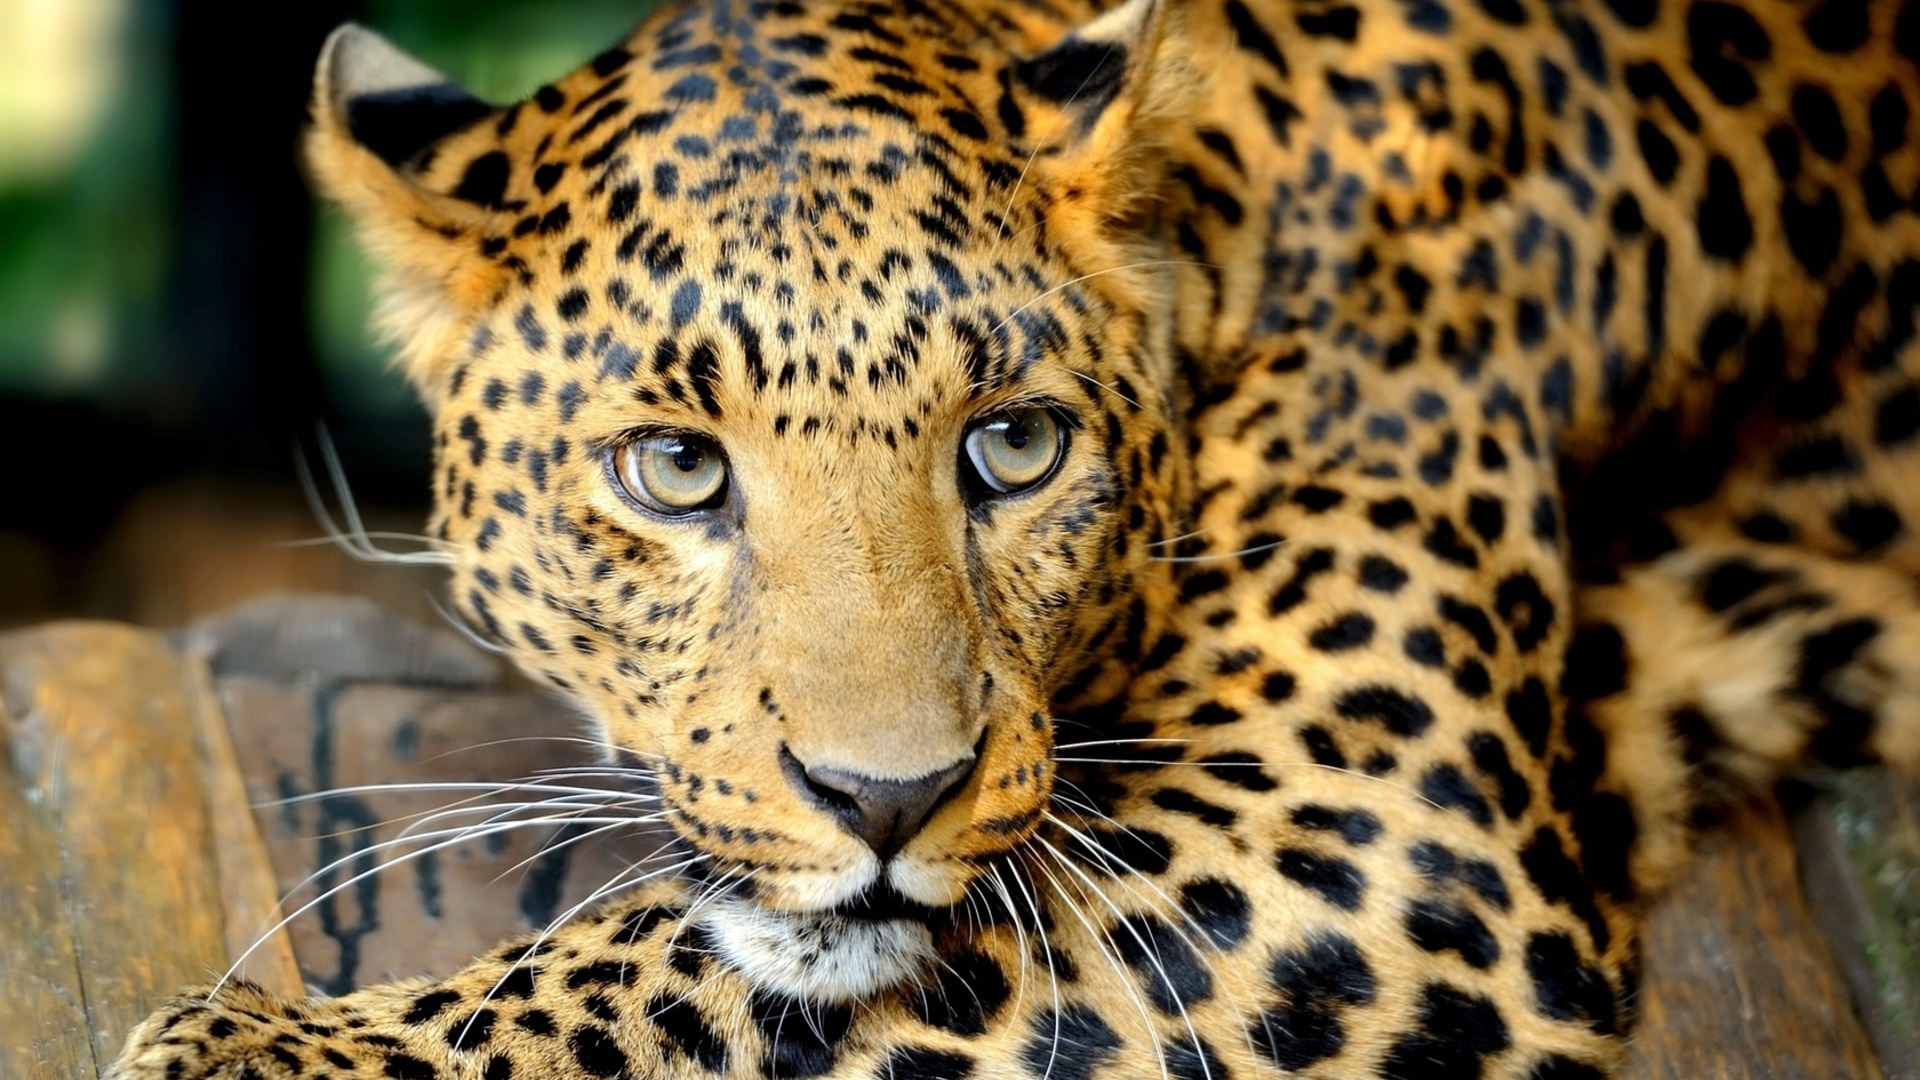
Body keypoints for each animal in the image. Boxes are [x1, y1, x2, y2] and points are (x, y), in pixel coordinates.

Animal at [106, 0, 1920, 1074]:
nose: (886, 798)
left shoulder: (1378, 830)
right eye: (676, 470)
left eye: (1014, 445)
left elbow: (676, 961)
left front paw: (277, 1052)